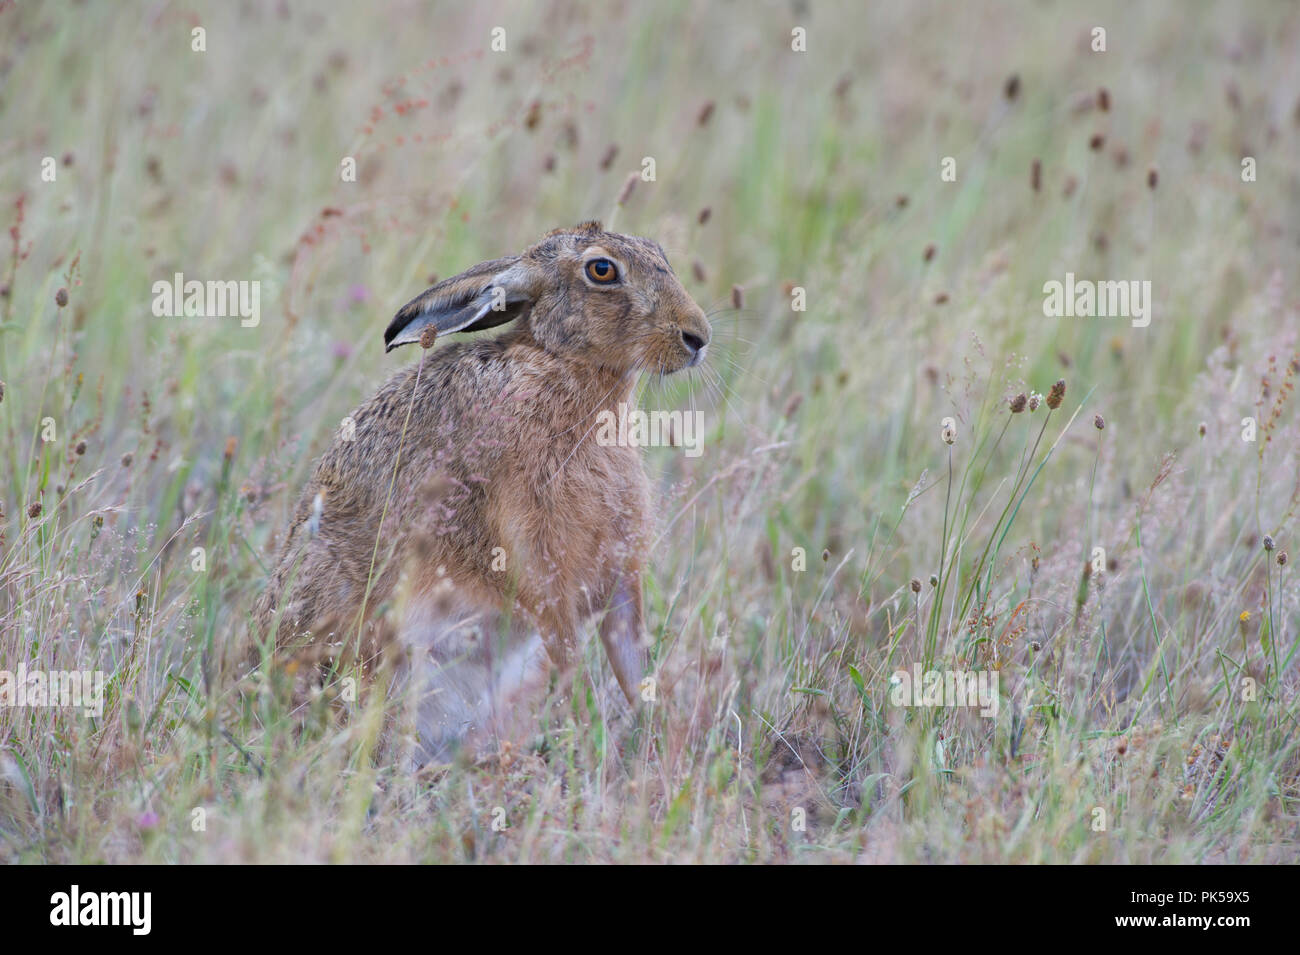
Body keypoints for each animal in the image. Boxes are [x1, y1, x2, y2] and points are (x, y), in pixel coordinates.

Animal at [251, 221, 712, 763]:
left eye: (657, 252)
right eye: (602, 270)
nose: (698, 337)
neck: (560, 364)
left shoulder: (620, 576)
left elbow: (634, 666)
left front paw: (655, 753)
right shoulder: (536, 565)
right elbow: (571, 663)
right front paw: (594, 744)